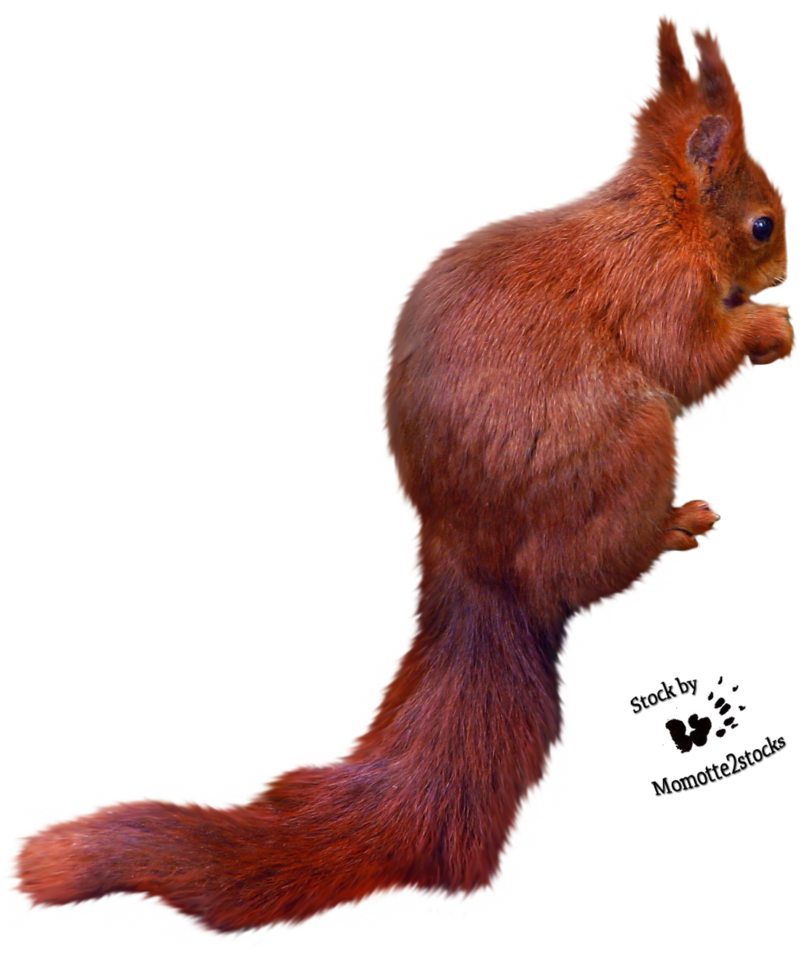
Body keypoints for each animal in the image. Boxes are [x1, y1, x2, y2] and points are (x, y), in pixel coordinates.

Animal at [5, 13, 795, 938]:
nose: (782, 270)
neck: (662, 220)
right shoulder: (658, 295)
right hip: (639, 448)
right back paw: (677, 526)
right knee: (601, 575)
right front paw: (772, 329)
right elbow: (692, 360)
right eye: (762, 225)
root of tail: (482, 569)